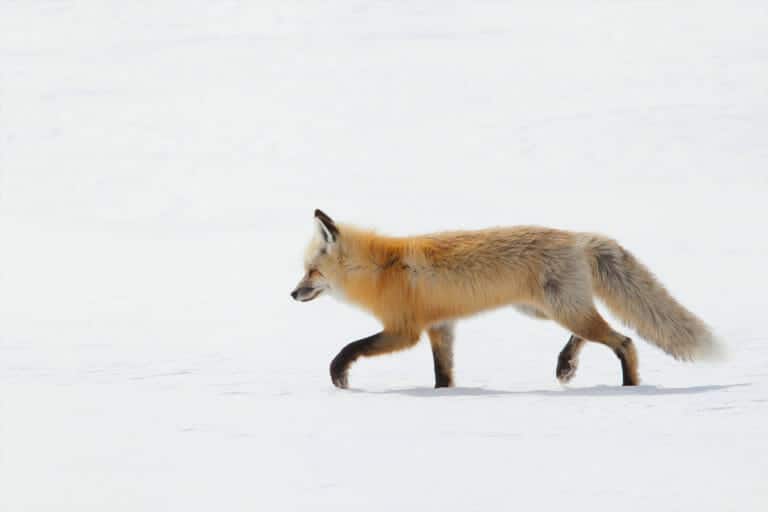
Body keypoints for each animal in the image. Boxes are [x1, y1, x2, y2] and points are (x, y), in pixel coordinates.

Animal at [291, 209, 720, 389]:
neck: (382, 268)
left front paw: (339, 375)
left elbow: (350, 347)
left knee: (625, 341)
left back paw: (631, 387)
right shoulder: (440, 328)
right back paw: (566, 365)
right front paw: (443, 396)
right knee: (595, 333)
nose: (292, 293)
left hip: (558, 310)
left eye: (311, 271)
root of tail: (579, 237)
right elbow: (443, 375)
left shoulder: (403, 330)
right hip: (545, 310)